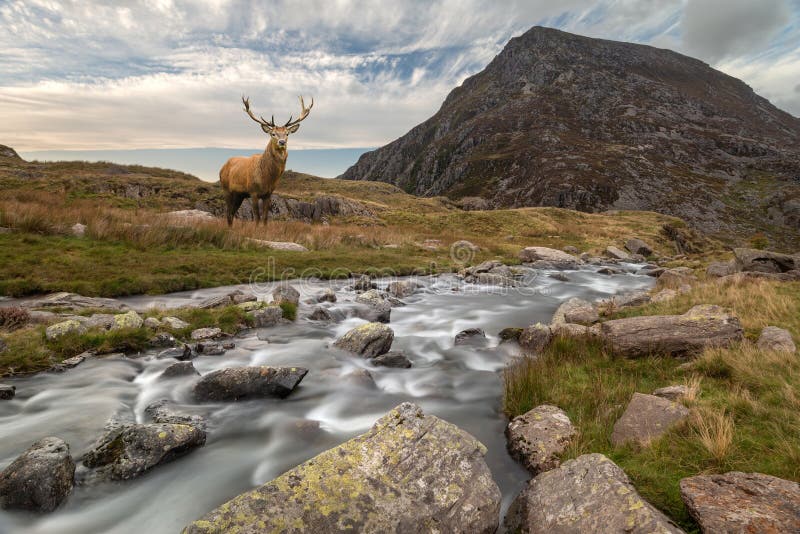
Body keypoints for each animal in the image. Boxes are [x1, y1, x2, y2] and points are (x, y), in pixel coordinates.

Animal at [219, 95, 313, 226]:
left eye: (287, 133)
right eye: (273, 133)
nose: (282, 142)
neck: (266, 178)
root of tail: (222, 167)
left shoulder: (268, 194)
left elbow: (265, 218)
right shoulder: (253, 192)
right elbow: (257, 218)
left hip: (239, 195)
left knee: (232, 213)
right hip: (226, 189)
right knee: (228, 213)